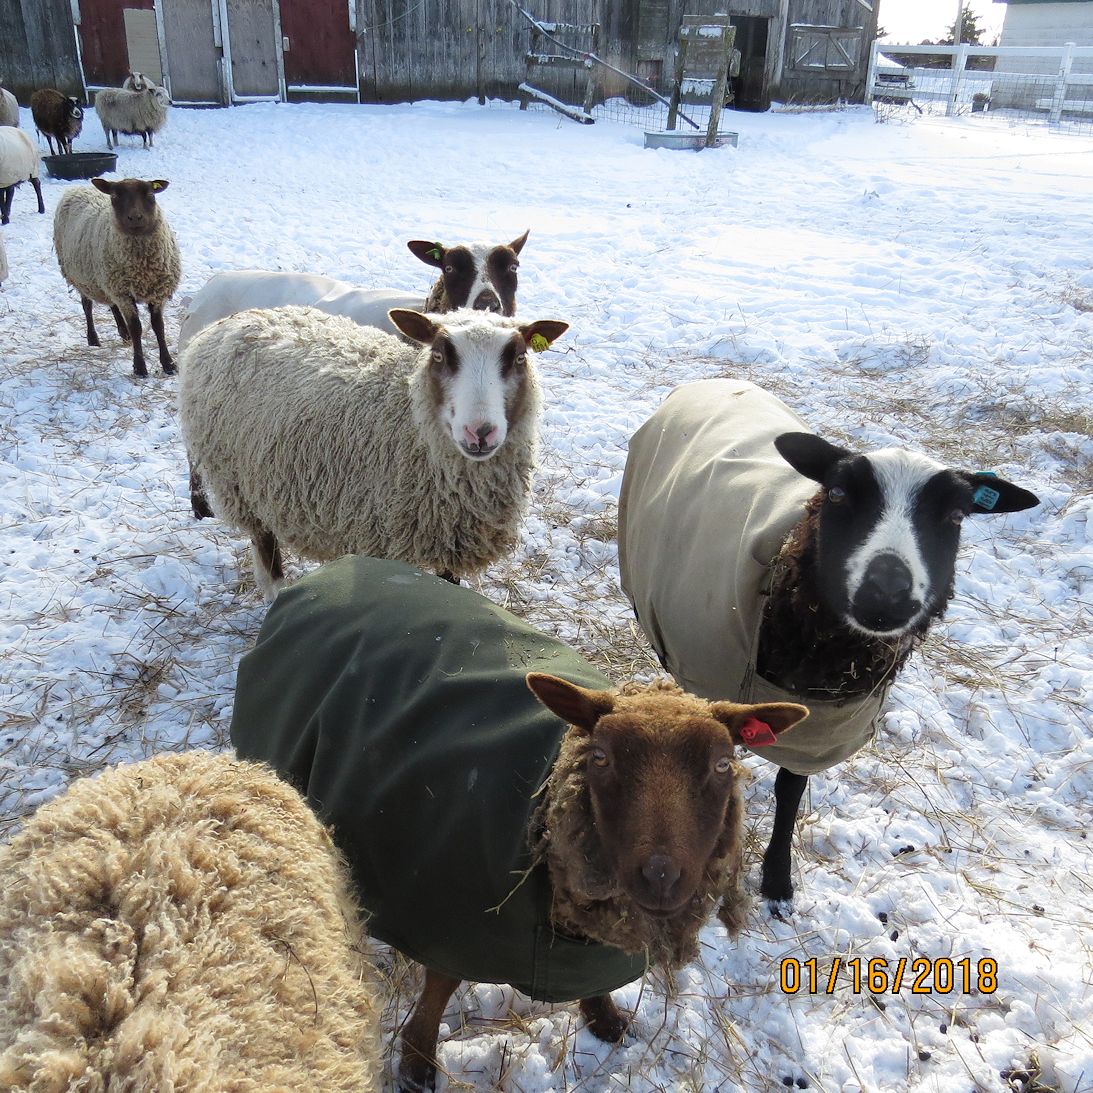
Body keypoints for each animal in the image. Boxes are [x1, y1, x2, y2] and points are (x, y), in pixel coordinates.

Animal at [53, 176, 181, 377]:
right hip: (82, 276)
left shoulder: (156, 291)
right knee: (87, 305)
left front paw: (169, 364)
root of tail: (77, 187)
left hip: (105, 278)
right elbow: (136, 328)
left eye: (151, 194)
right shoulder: (124, 294)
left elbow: (158, 326)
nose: (135, 217)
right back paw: (93, 338)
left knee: (111, 303)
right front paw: (140, 368)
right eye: (114, 196)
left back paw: (123, 333)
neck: (143, 267)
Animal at [178, 304, 568, 596]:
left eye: (519, 357)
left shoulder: (448, 539)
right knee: (266, 558)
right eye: (439, 354)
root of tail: (226, 322)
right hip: (240, 483)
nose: (480, 432)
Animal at [229, 555, 810, 1093]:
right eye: (600, 758)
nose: (662, 876)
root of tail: (332, 570)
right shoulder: (456, 911)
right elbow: (440, 984)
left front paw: (604, 1018)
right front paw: (416, 1062)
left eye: (723, 764)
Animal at [618, 378, 1041, 903]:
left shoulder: (816, 733)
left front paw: (777, 879)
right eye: (838, 492)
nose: (886, 593)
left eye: (957, 515)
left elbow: (790, 793)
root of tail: (715, 380)